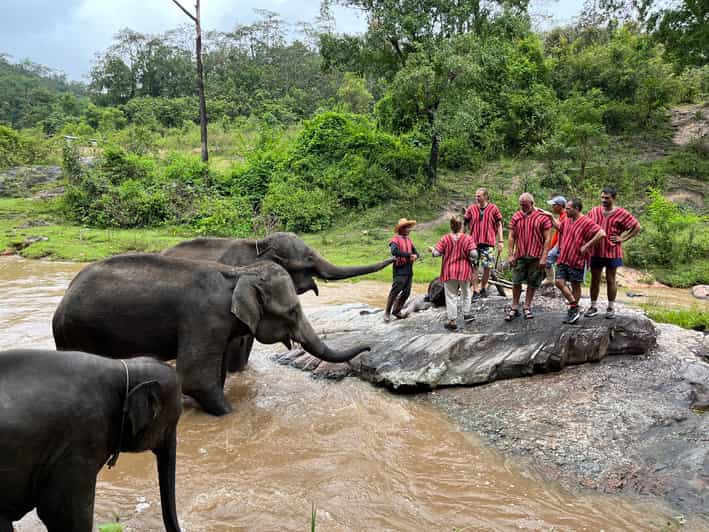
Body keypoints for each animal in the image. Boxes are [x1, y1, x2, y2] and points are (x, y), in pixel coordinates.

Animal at [52, 254, 370, 416]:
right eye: (292, 312)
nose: (367, 350)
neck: (239, 272)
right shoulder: (204, 319)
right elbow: (196, 378)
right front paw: (229, 414)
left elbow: (217, 373)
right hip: (80, 333)